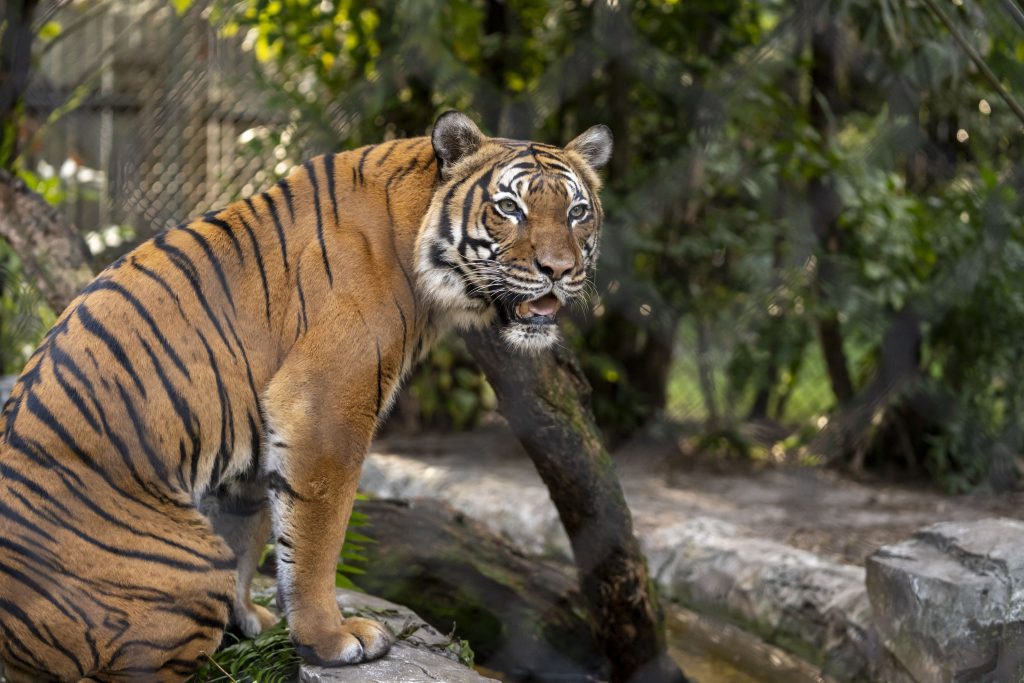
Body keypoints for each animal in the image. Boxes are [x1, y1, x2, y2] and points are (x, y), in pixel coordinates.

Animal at [0, 110, 612, 681]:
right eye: (510, 208)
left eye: (577, 212)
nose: (559, 270)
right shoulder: (324, 406)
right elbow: (317, 539)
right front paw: (331, 639)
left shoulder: (252, 443)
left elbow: (249, 534)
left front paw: (250, 618)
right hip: (188, 569)